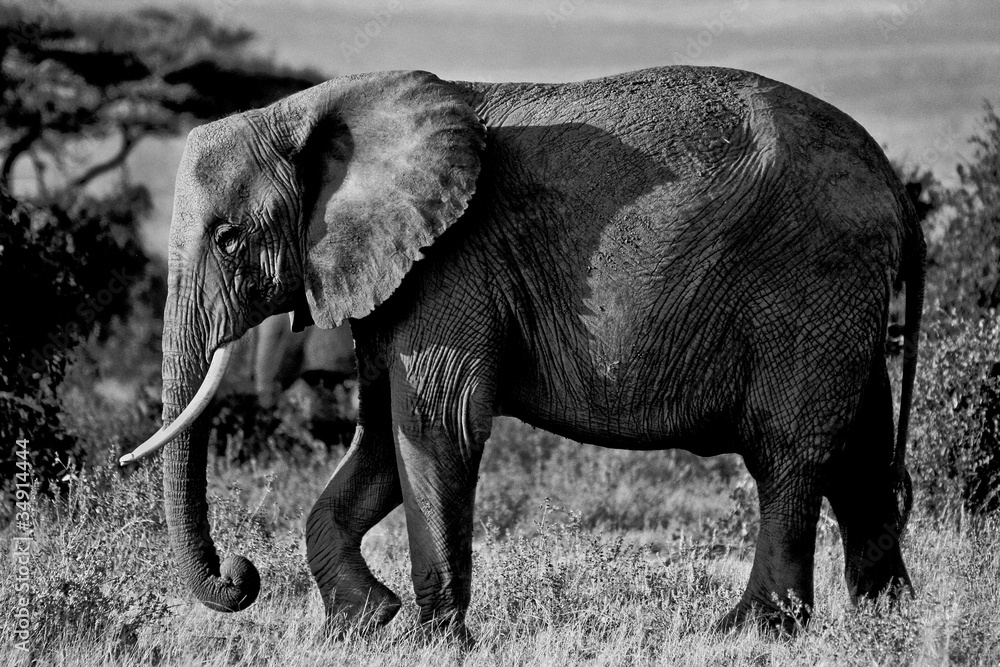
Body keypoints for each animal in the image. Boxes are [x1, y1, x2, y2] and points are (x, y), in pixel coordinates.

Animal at [122, 65, 925, 640]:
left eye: (229, 239)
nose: (239, 573)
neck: (316, 108)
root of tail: (896, 186)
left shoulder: (452, 262)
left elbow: (433, 424)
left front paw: (433, 641)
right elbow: (381, 436)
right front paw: (363, 624)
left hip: (811, 283)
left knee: (790, 453)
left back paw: (751, 630)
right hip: (841, 304)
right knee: (860, 454)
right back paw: (888, 623)